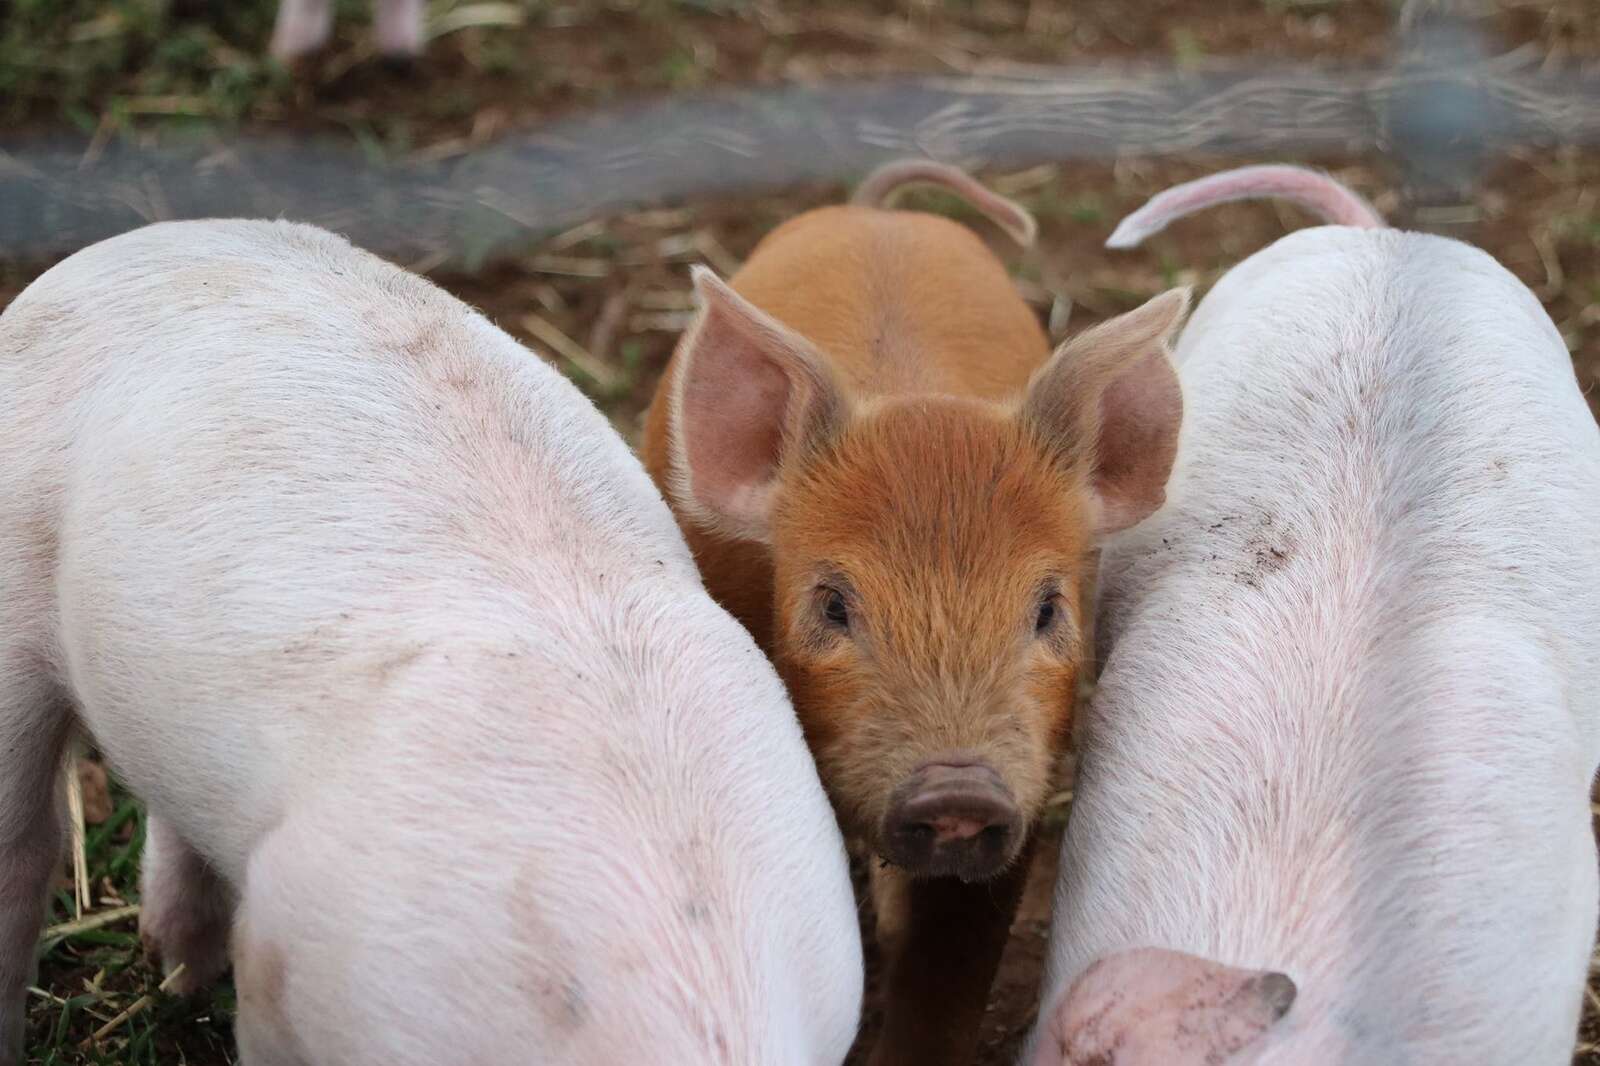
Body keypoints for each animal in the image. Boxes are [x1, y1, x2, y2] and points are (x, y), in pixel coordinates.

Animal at [641, 158, 1192, 1065]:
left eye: (1047, 608)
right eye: (832, 603)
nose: (957, 787)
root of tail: (875, 210)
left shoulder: (1032, 781)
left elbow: (950, 966)